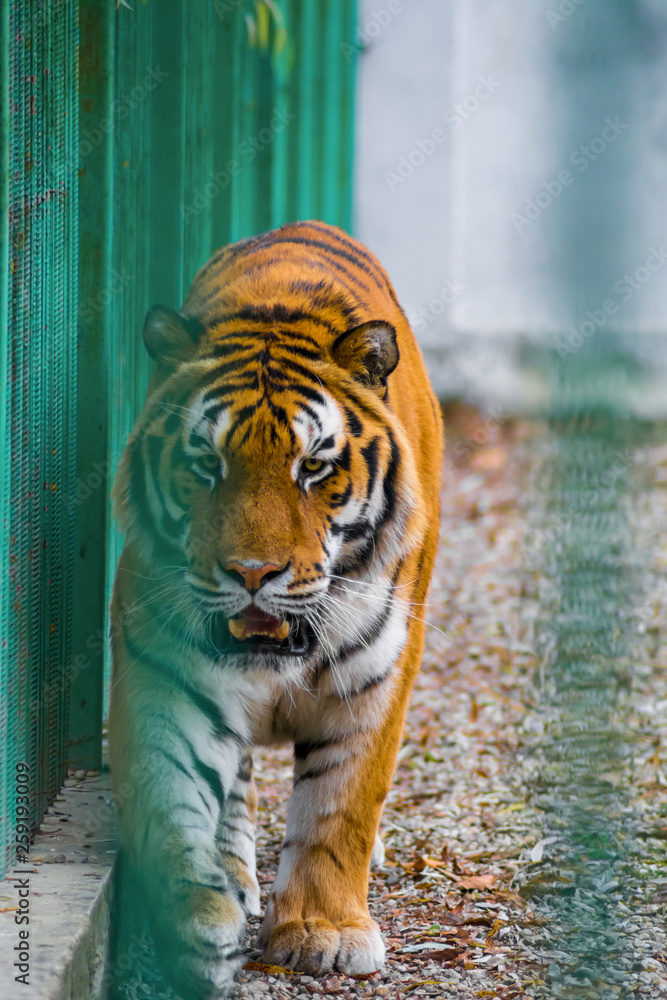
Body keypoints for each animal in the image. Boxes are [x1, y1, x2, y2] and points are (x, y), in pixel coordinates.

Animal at [109, 220, 444, 999]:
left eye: (313, 467)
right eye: (206, 465)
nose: (252, 573)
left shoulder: (373, 678)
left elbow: (339, 810)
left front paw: (323, 932)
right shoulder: (164, 669)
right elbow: (171, 795)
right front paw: (197, 923)